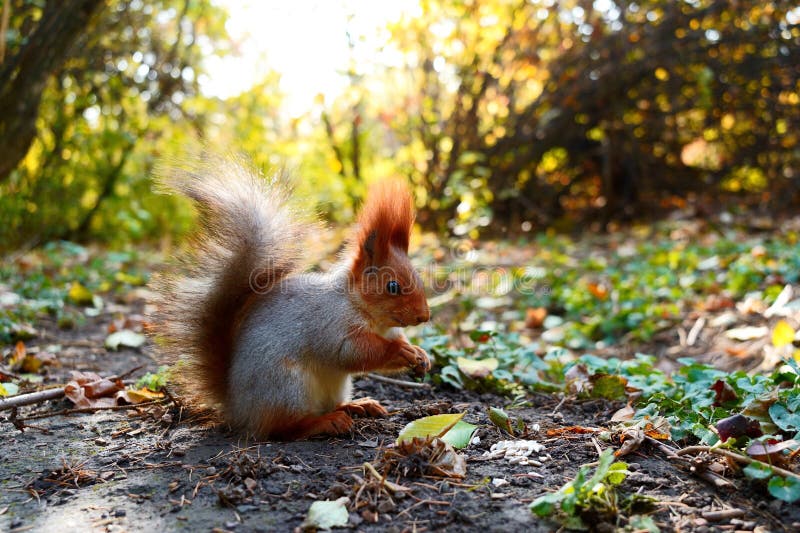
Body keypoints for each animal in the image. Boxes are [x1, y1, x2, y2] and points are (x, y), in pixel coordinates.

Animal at [152, 155, 431, 440]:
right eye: (392, 286)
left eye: (419, 278)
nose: (424, 316)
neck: (366, 312)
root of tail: (237, 408)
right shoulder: (331, 324)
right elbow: (351, 353)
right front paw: (400, 351)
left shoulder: (389, 329)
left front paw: (420, 355)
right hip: (286, 386)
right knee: (284, 426)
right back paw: (327, 422)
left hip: (334, 385)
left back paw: (357, 405)